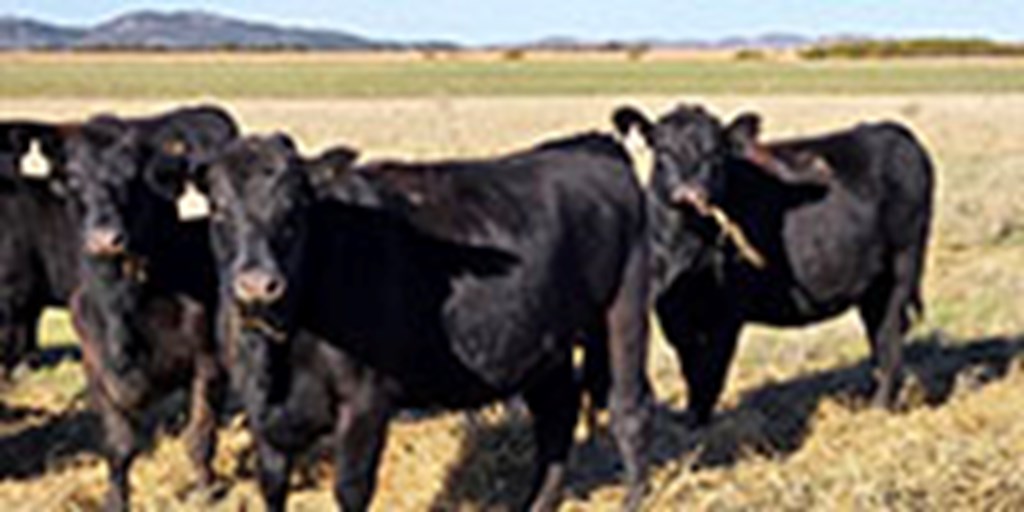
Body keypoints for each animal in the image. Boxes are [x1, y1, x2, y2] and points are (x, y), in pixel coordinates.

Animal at [63, 106, 238, 511]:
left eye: (132, 177)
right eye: (75, 182)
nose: (104, 238)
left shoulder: (208, 365)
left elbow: (200, 433)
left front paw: (205, 488)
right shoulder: (96, 373)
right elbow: (118, 446)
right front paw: (114, 498)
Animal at [195, 132, 654, 511]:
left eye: (294, 209)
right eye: (218, 210)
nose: (257, 285)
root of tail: (591, 144)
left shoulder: (365, 402)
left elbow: (350, 490)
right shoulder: (261, 416)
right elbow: (272, 488)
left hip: (625, 309)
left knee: (628, 409)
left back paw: (632, 499)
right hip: (543, 343)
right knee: (558, 414)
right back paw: (539, 503)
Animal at [613, 103, 934, 427]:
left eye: (716, 154)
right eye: (662, 150)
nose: (690, 193)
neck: (683, 254)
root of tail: (893, 131)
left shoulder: (726, 316)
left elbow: (709, 373)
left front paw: (699, 423)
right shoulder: (674, 315)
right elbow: (691, 369)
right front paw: (691, 420)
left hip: (900, 271)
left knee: (890, 337)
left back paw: (879, 408)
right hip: (872, 287)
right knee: (878, 334)